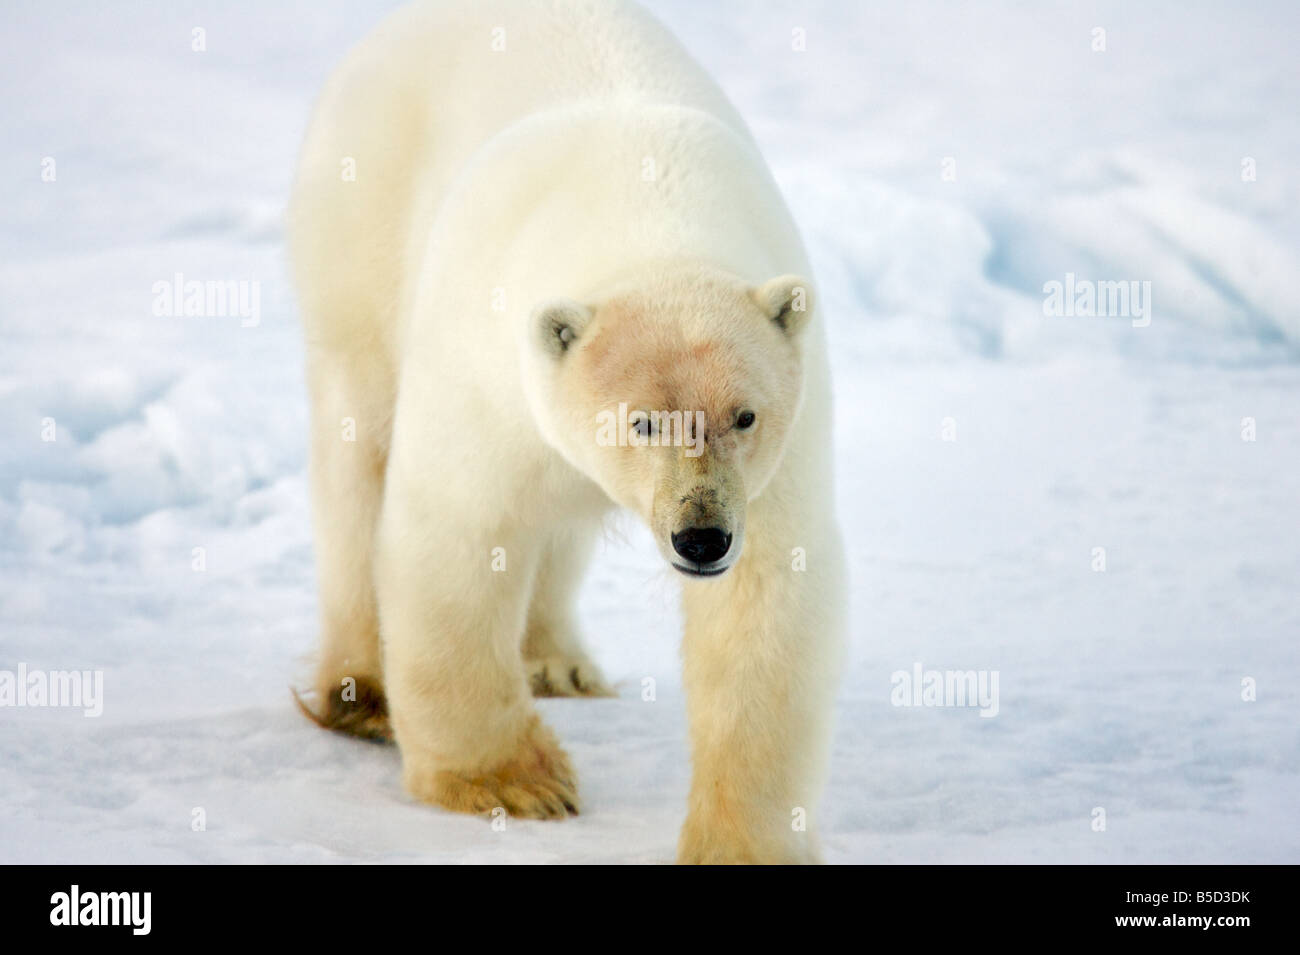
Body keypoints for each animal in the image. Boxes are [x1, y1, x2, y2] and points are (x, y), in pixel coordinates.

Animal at [287, 0, 845, 864]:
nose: (701, 536)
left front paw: (741, 841)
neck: (650, 214)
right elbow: (455, 534)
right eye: (642, 419)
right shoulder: (484, 368)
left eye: (744, 414)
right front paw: (514, 783)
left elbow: (766, 595)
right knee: (356, 446)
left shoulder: (783, 446)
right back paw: (361, 694)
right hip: (359, 223)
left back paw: (559, 663)